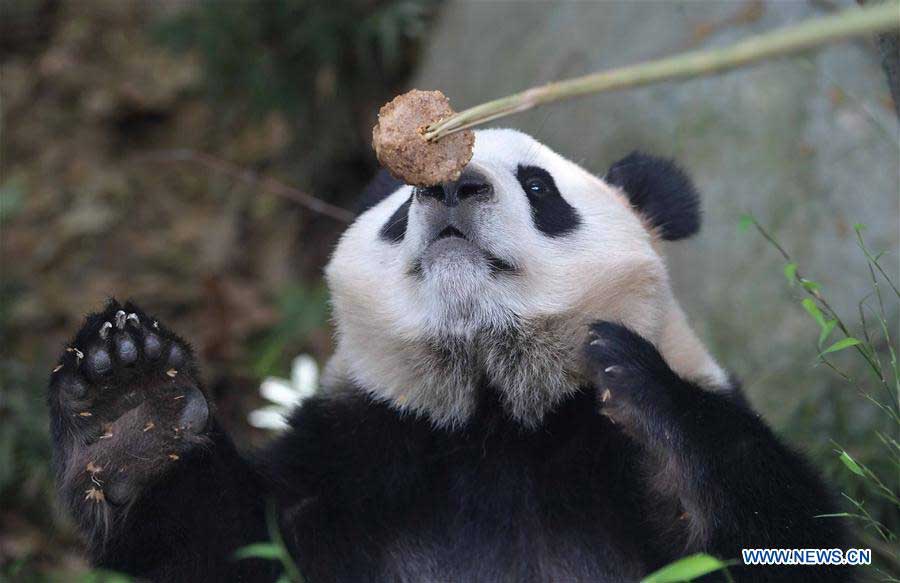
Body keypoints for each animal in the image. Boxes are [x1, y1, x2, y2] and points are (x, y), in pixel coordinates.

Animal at [49, 130, 848, 582]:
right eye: (403, 197)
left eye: (538, 184)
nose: (447, 183)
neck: (493, 408)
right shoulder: (357, 450)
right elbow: (223, 547)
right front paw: (133, 407)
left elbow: (783, 537)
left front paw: (635, 374)